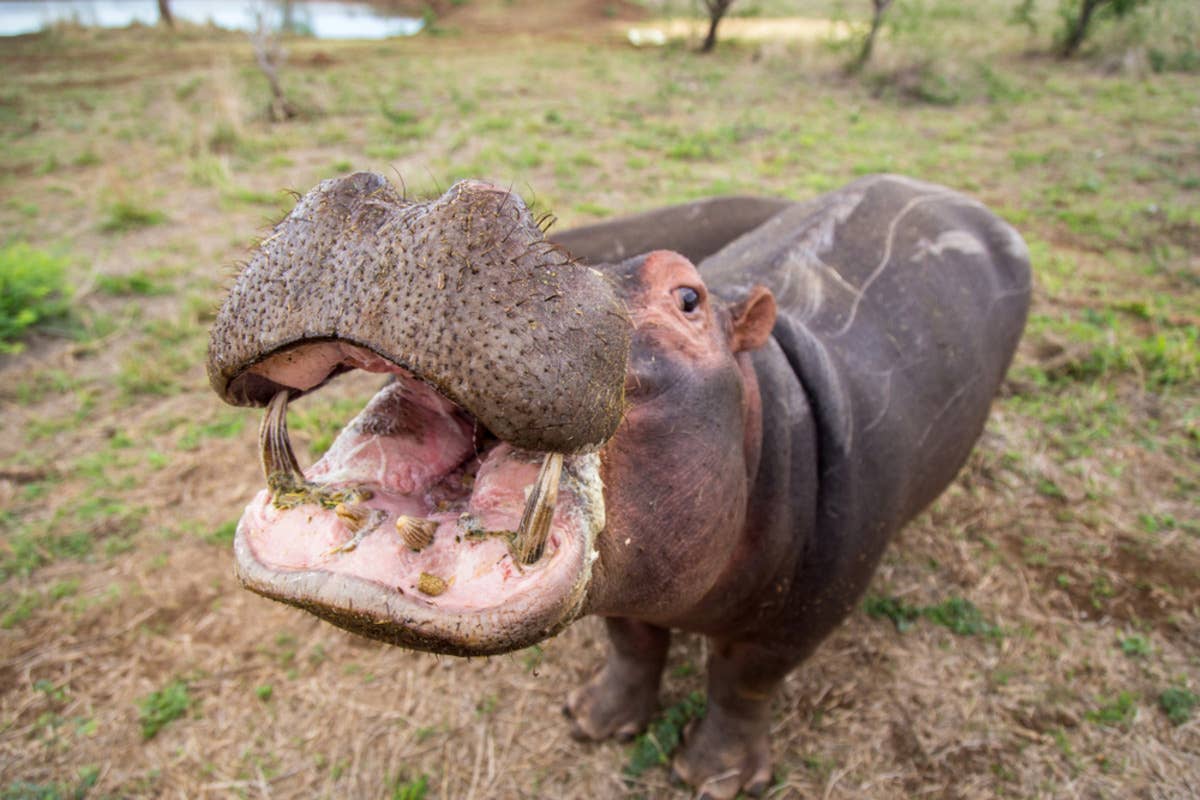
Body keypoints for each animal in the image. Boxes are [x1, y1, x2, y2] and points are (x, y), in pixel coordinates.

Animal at [207, 173, 1030, 799]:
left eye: (688, 296)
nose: (397, 206)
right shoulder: (631, 592)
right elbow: (631, 645)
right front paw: (594, 723)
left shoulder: (804, 616)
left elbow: (744, 681)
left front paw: (713, 778)